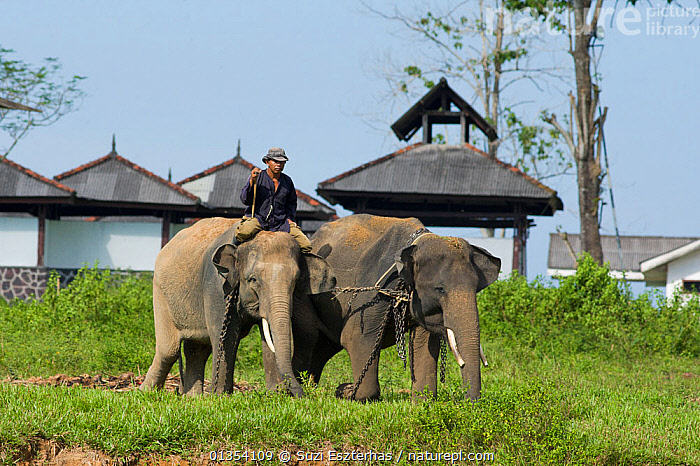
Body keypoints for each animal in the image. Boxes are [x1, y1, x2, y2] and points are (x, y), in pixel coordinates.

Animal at [139, 217, 335, 397]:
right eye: (253, 279)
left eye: (295, 280)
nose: (303, 394)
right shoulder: (217, 286)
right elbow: (225, 336)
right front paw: (220, 397)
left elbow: (268, 337)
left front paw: (275, 395)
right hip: (160, 292)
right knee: (169, 350)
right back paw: (145, 392)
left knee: (197, 349)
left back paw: (192, 397)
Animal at [293, 214, 500, 402]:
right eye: (439, 289)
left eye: (476, 288)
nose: (468, 401)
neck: (417, 241)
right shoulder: (374, 290)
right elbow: (356, 338)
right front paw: (346, 391)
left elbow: (425, 344)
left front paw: (422, 402)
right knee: (309, 336)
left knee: (324, 347)